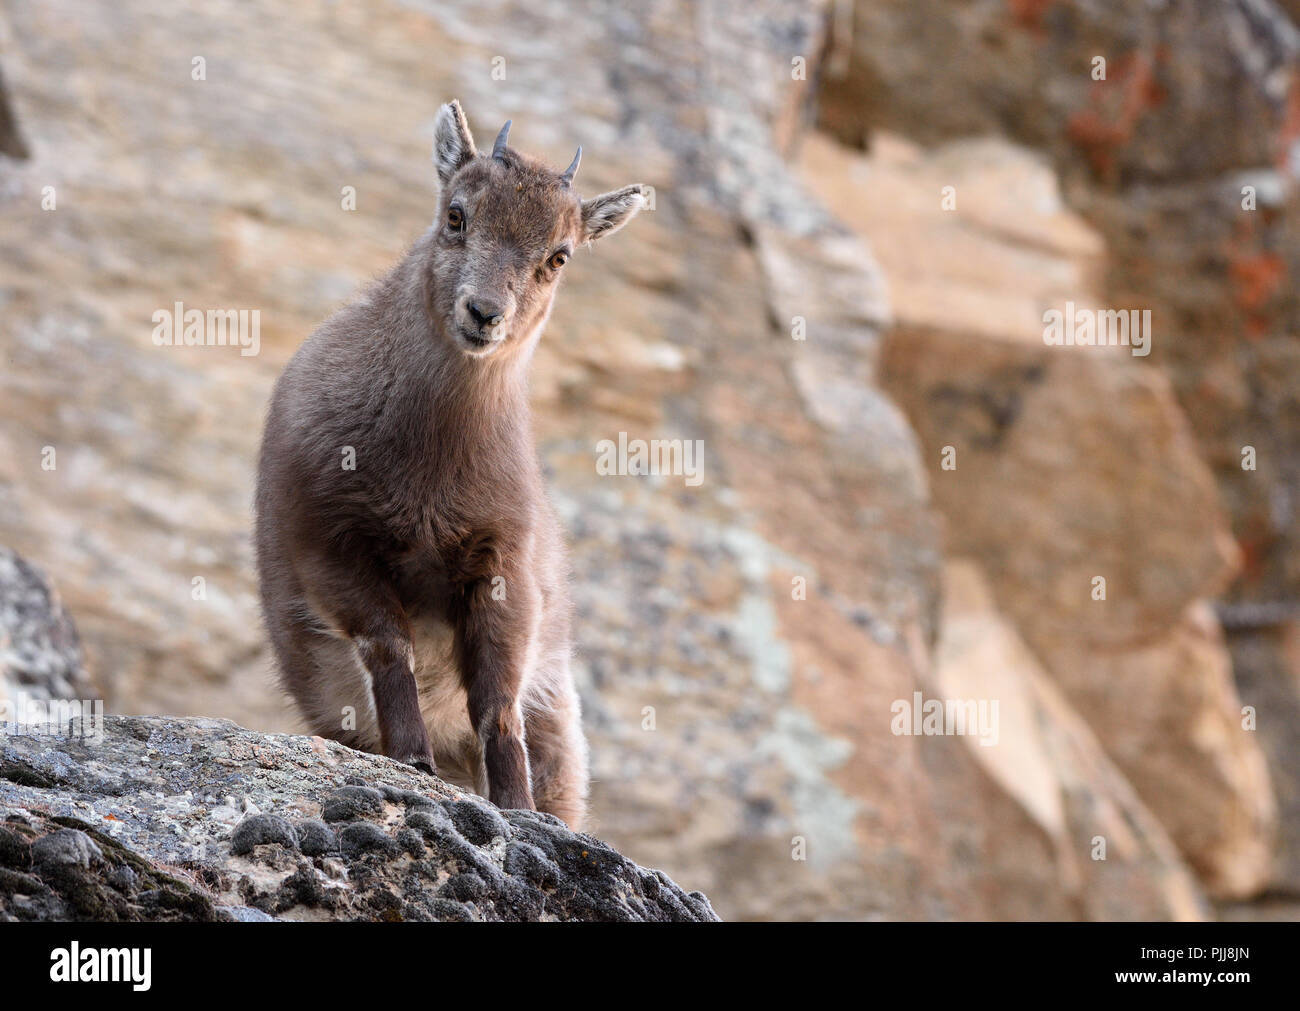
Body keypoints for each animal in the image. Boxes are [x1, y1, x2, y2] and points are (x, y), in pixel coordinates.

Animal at [255, 100, 648, 829]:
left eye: (559, 255)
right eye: (458, 214)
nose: (484, 314)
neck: (432, 467)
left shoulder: (503, 567)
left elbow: (497, 699)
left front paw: (516, 807)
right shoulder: (332, 544)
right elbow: (389, 649)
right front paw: (412, 761)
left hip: (561, 729)